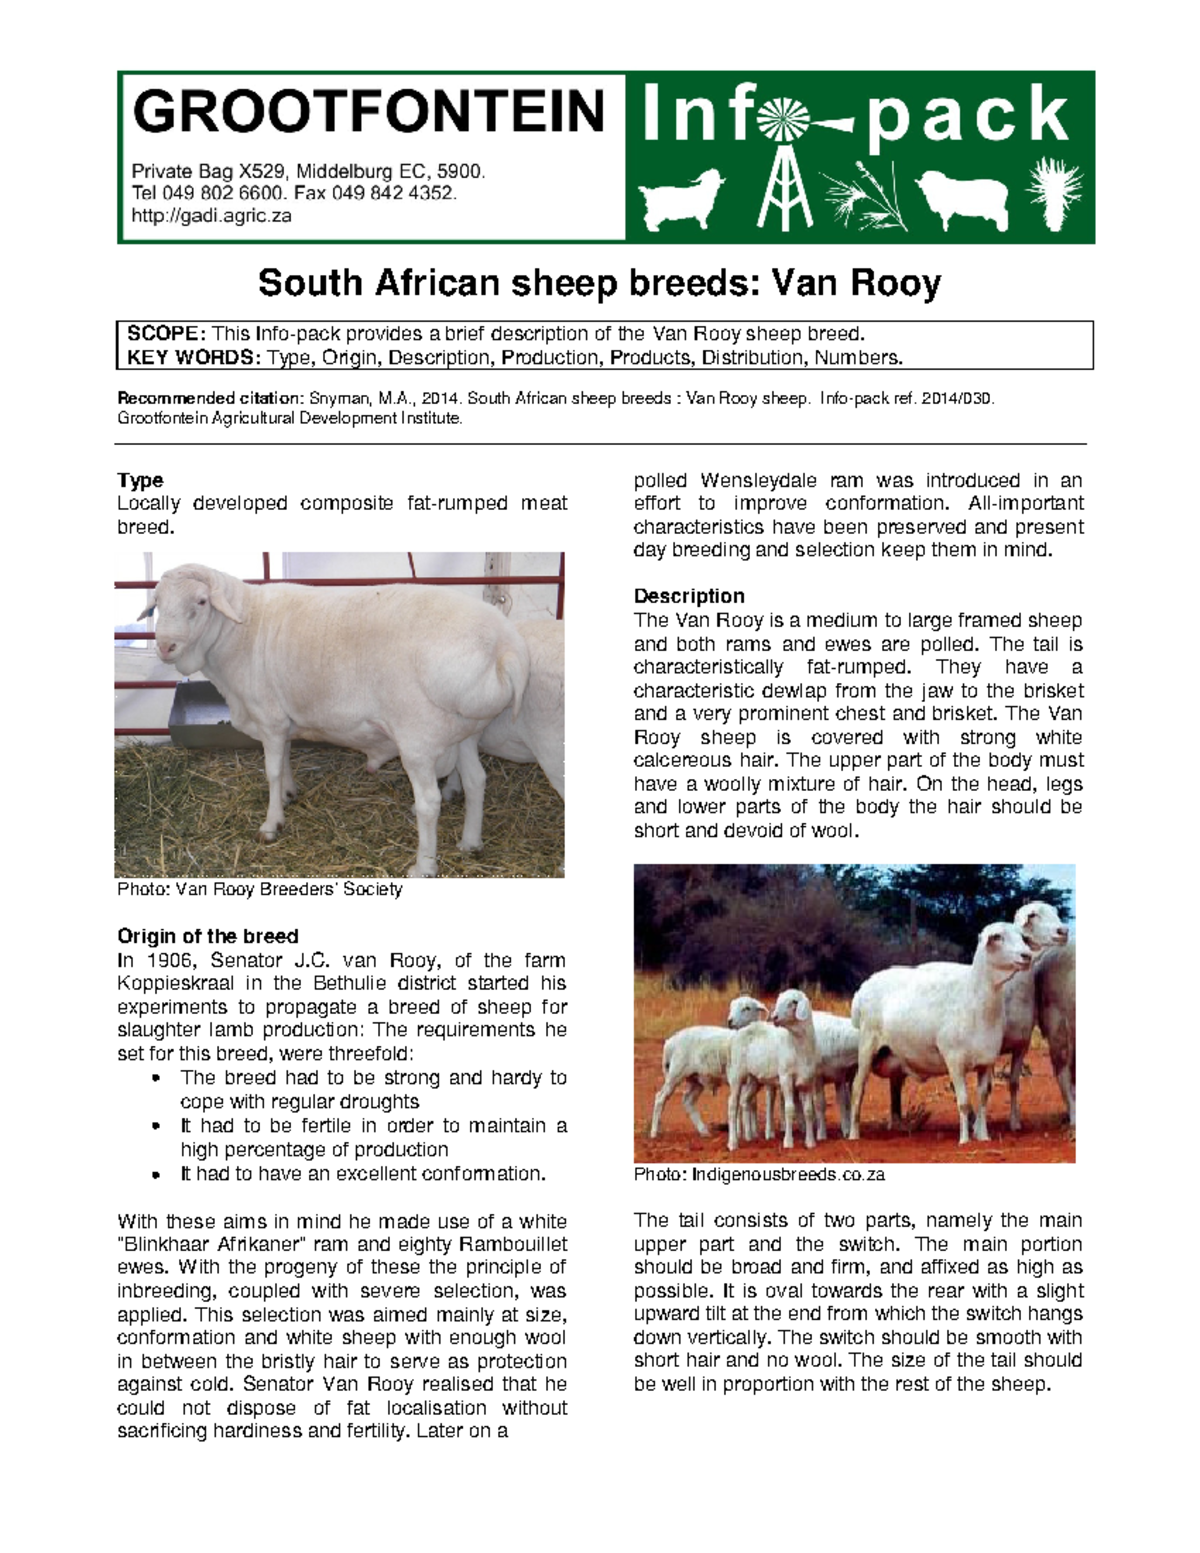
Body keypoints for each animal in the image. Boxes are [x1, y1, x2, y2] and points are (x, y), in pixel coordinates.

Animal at [139, 565, 529, 878]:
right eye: (157, 601)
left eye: (202, 601)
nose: (165, 646)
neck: (239, 629)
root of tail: (504, 650)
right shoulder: (283, 718)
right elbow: (286, 759)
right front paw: (289, 795)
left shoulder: (269, 716)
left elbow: (272, 771)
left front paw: (271, 823)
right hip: (465, 729)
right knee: (477, 781)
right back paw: (470, 843)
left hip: (417, 738)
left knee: (429, 803)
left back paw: (424, 866)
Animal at [649, 995, 766, 1140]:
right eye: (731, 1007)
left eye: (747, 1008)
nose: (730, 1021)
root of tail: (670, 1041)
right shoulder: (739, 1079)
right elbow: (742, 1104)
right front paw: (741, 1133)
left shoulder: (751, 1080)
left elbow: (752, 1103)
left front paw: (753, 1132)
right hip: (676, 1073)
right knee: (660, 1098)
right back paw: (654, 1132)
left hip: (695, 1078)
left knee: (688, 1101)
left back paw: (703, 1131)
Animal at [726, 990, 818, 1151]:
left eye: (793, 1002)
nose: (774, 1017)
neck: (798, 1045)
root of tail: (740, 1031)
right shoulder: (786, 1077)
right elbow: (789, 1109)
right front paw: (788, 1142)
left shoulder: (807, 1081)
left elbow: (808, 1111)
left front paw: (810, 1142)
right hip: (737, 1074)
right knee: (732, 1104)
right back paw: (732, 1143)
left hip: (754, 1079)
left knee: (744, 1100)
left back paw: (749, 1137)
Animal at [849, 923, 1032, 1145]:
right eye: (997, 937)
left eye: (1022, 936)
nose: (1027, 955)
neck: (974, 999)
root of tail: (863, 987)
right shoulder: (954, 1060)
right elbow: (963, 1102)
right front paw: (964, 1140)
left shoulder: (986, 1061)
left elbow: (983, 1098)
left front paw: (984, 1136)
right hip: (868, 1044)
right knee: (858, 1088)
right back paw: (853, 1134)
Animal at [1000, 902, 1069, 1131]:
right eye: (1033, 915)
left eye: (1056, 912)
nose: (1063, 931)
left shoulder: (1022, 1045)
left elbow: (1014, 1082)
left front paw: (1014, 1122)